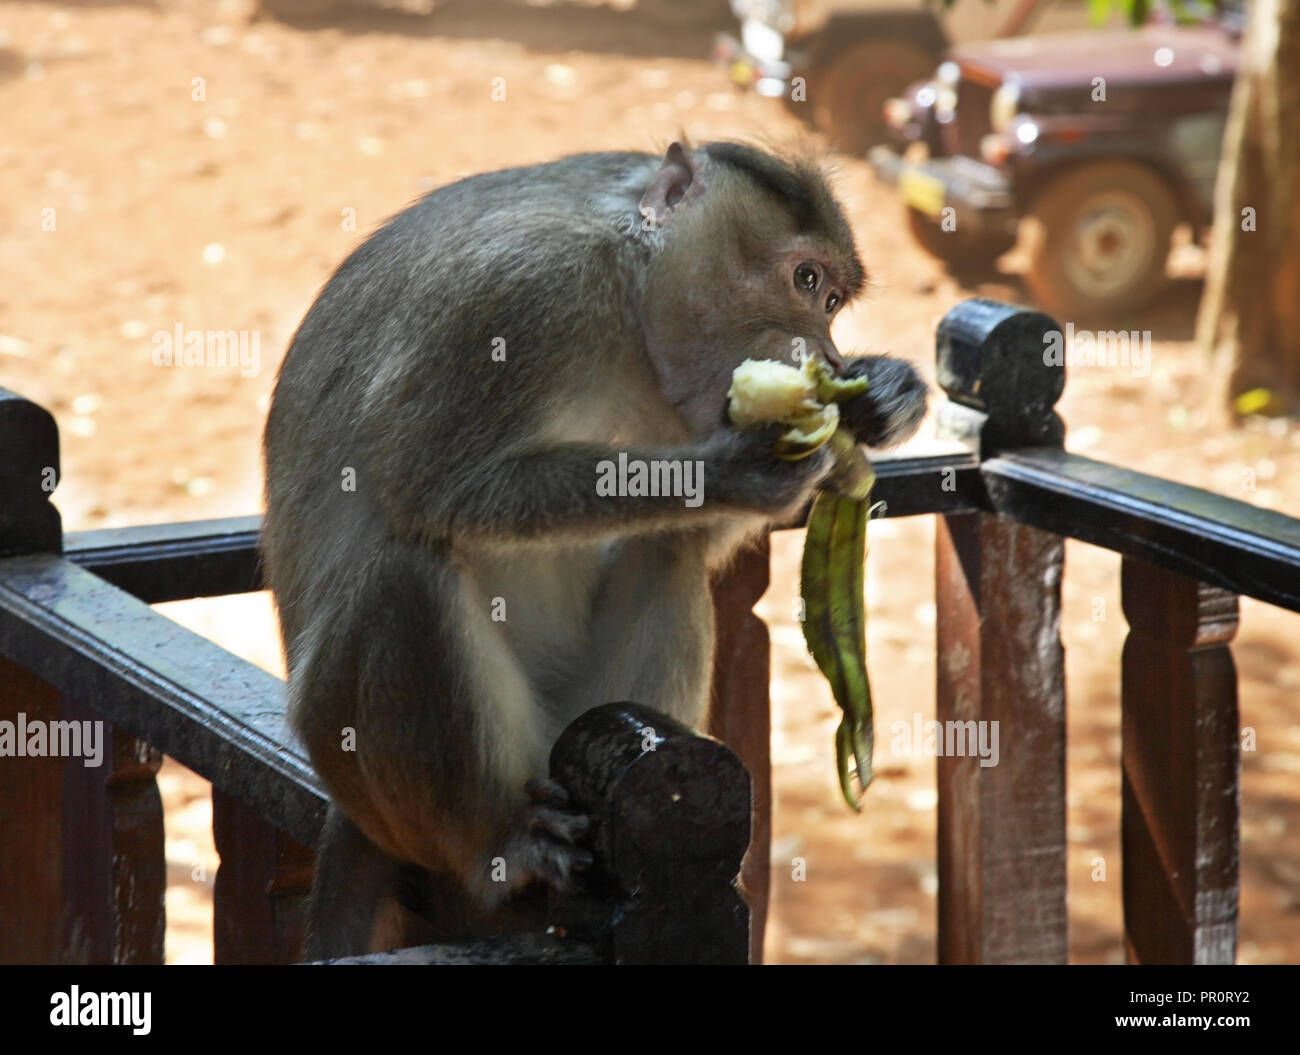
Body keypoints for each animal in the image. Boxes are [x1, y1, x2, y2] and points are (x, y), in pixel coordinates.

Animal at [261, 140, 927, 959]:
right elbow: (434, 485)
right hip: (362, 764)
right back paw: (500, 845)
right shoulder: (524, 290)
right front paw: (742, 468)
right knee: (405, 573)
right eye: (806, 281)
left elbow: (687, 537)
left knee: (663, 557)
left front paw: (884, 396)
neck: (628, 298)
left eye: (832, 301)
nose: (826, 353)